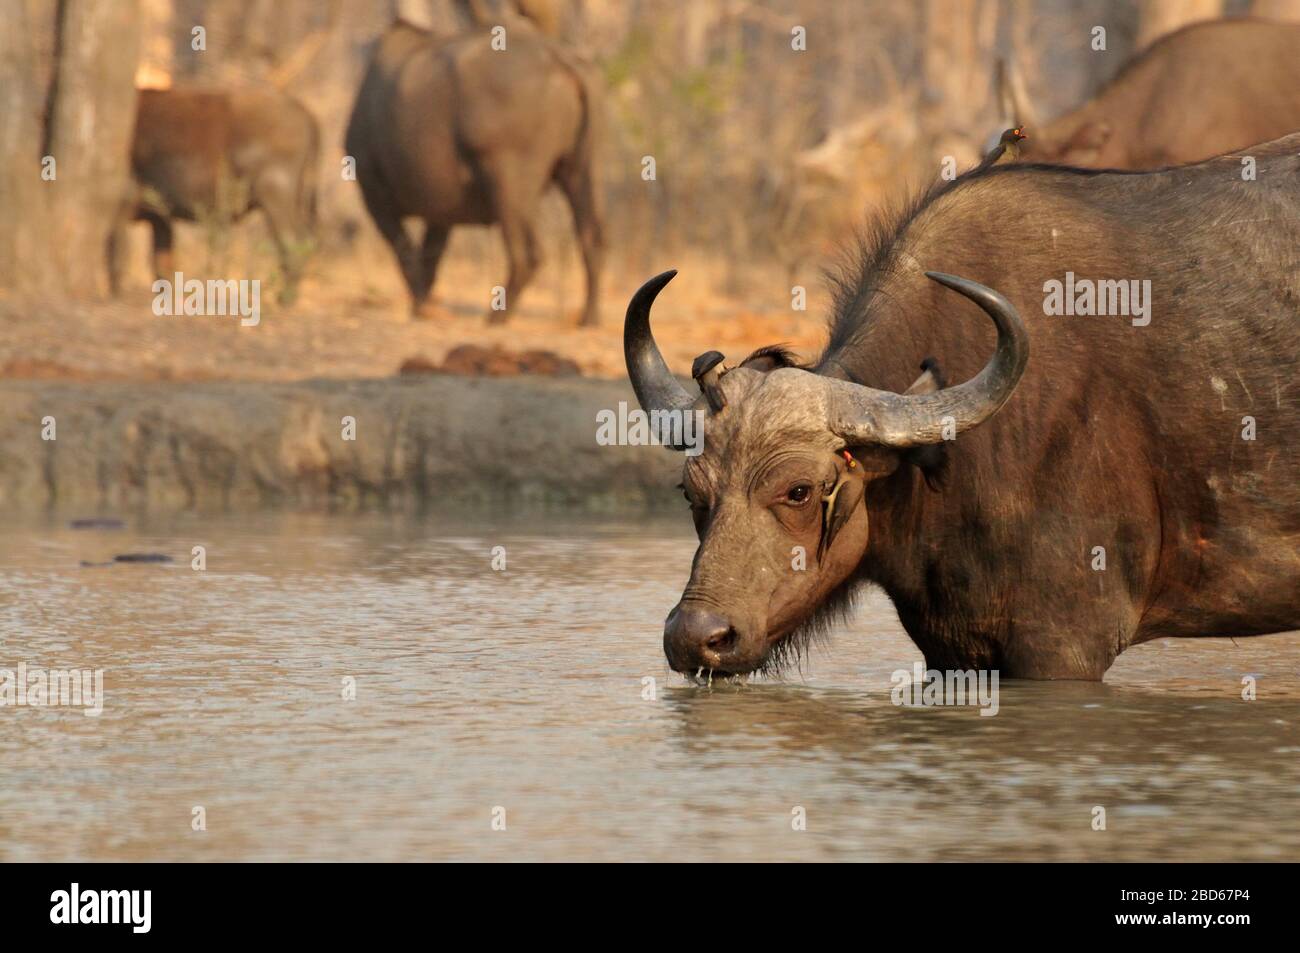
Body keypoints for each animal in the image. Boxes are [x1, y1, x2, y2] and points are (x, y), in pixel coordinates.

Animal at [110, 88, 319, 302]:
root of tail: (303, 113)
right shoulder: (160, 221)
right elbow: (161, 266)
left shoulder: (120, 210)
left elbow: (117, 257)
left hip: (276, 199)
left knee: (292, 244)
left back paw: (285, 299)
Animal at [345, 14, 604, 325]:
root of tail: (559, 58)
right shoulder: (440, 214)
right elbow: (430, 257)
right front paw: (425, 304)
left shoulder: (376, 198)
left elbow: (405, 251)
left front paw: (421, 305)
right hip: (580, 172)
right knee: (591, 239)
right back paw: (589, 316)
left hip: (508, 186)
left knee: (528, 255)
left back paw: (497, 316)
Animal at [626, 133, 1300, 681]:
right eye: (690, 493)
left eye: (798, 491)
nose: (694, 638)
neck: (941, 464)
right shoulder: (953, 650)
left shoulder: (1063, 645)